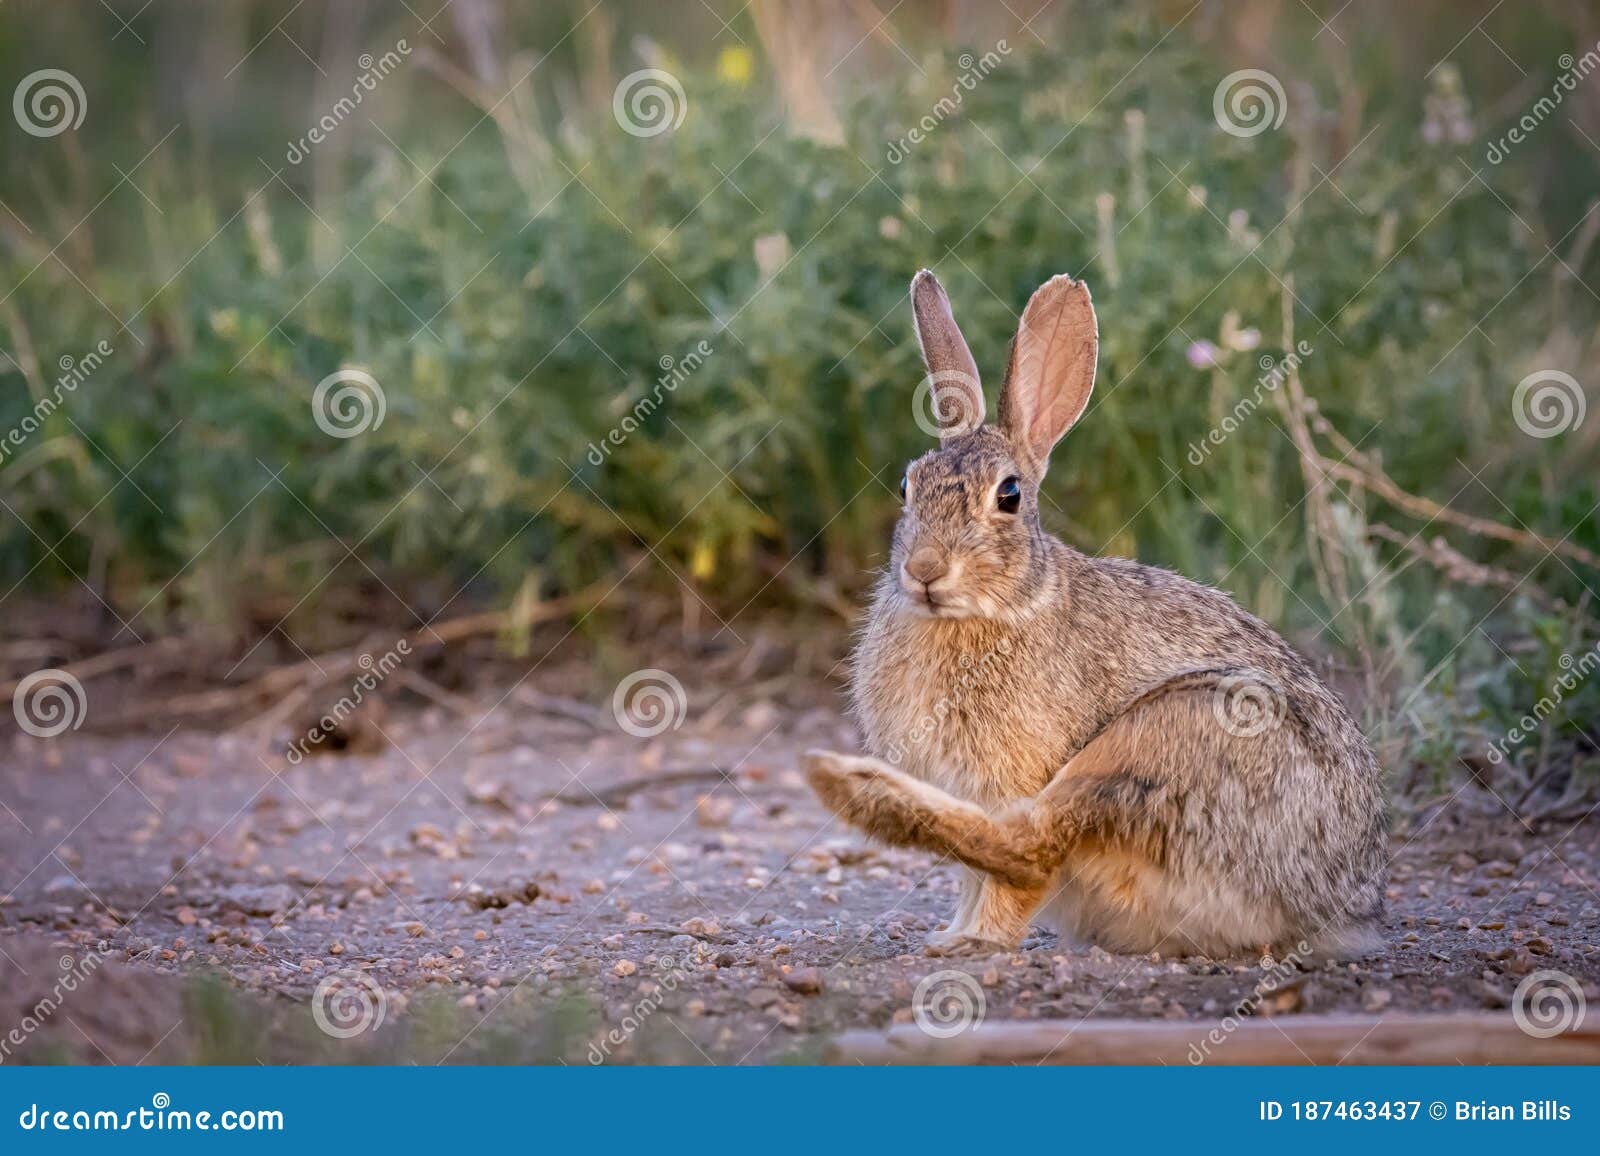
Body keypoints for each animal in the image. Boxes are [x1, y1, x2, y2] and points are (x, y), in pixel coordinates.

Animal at [801, 269, 1385, 959]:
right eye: (905, 486)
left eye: (1009, 495)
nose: (923, 570)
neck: (1004, 604)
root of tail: (1333, 909)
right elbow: (973, 877)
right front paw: (953, 934)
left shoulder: (1012, 774)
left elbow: (1012, 878)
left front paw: (977, 942)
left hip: (1175, 732)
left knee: (1034, 849)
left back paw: (847, 784)